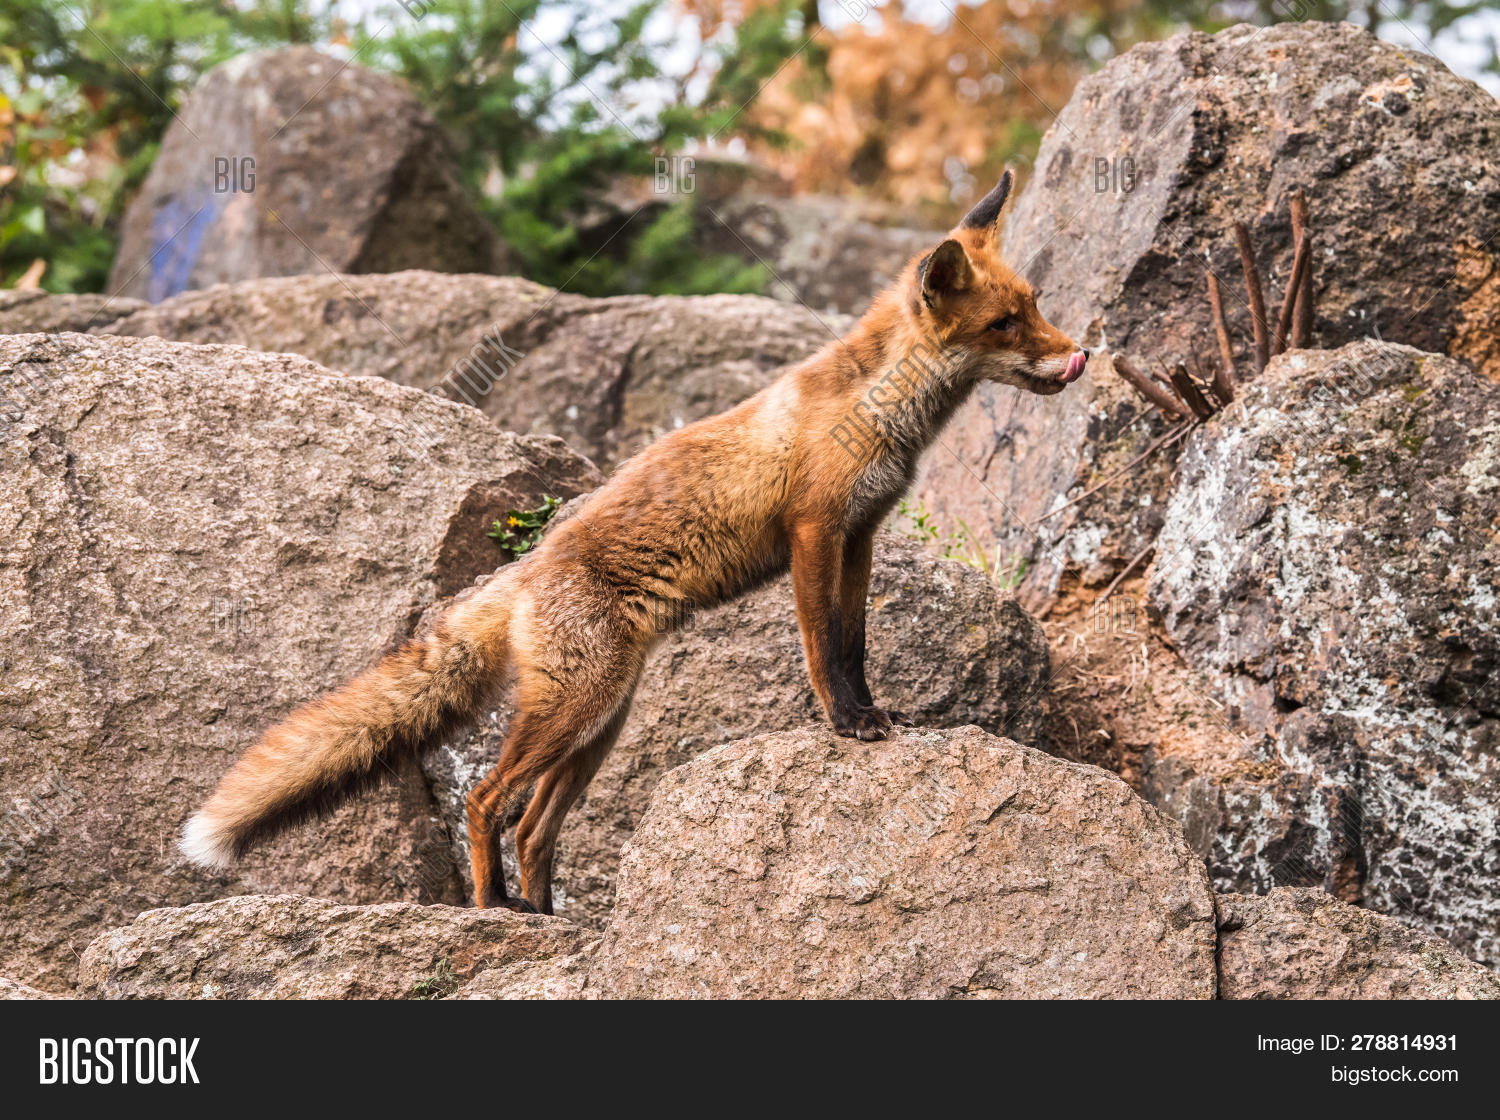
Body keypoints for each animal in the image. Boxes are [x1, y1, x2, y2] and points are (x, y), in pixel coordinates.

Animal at [180, 170, 1088, 914]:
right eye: (1006, 323)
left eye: (1038, 303)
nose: (1080, 356)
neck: (876, 409)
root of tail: (526, 568)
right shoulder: (813, 532)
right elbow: (821, 647)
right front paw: (844, 723)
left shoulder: (860, 534)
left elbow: (856, 643)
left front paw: (871, 711)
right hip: (574, 713)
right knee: (486, 802)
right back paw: (492, 909)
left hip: (598, 727)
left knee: (533, 828)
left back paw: (543, 914)